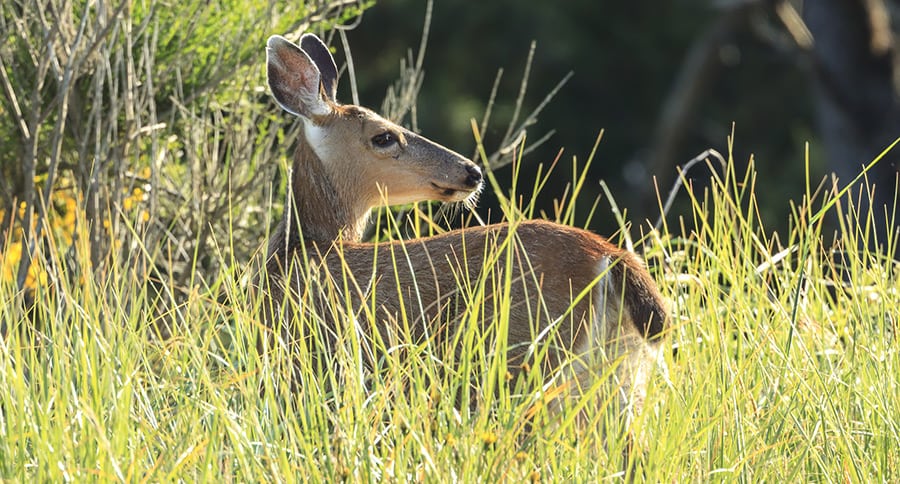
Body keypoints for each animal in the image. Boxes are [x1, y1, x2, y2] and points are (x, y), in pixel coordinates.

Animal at [259, 33, 668, 435]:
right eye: (384, 137)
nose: (472, 171)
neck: (296, 252)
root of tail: (613, 258)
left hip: (522, 356)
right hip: (619, 375)